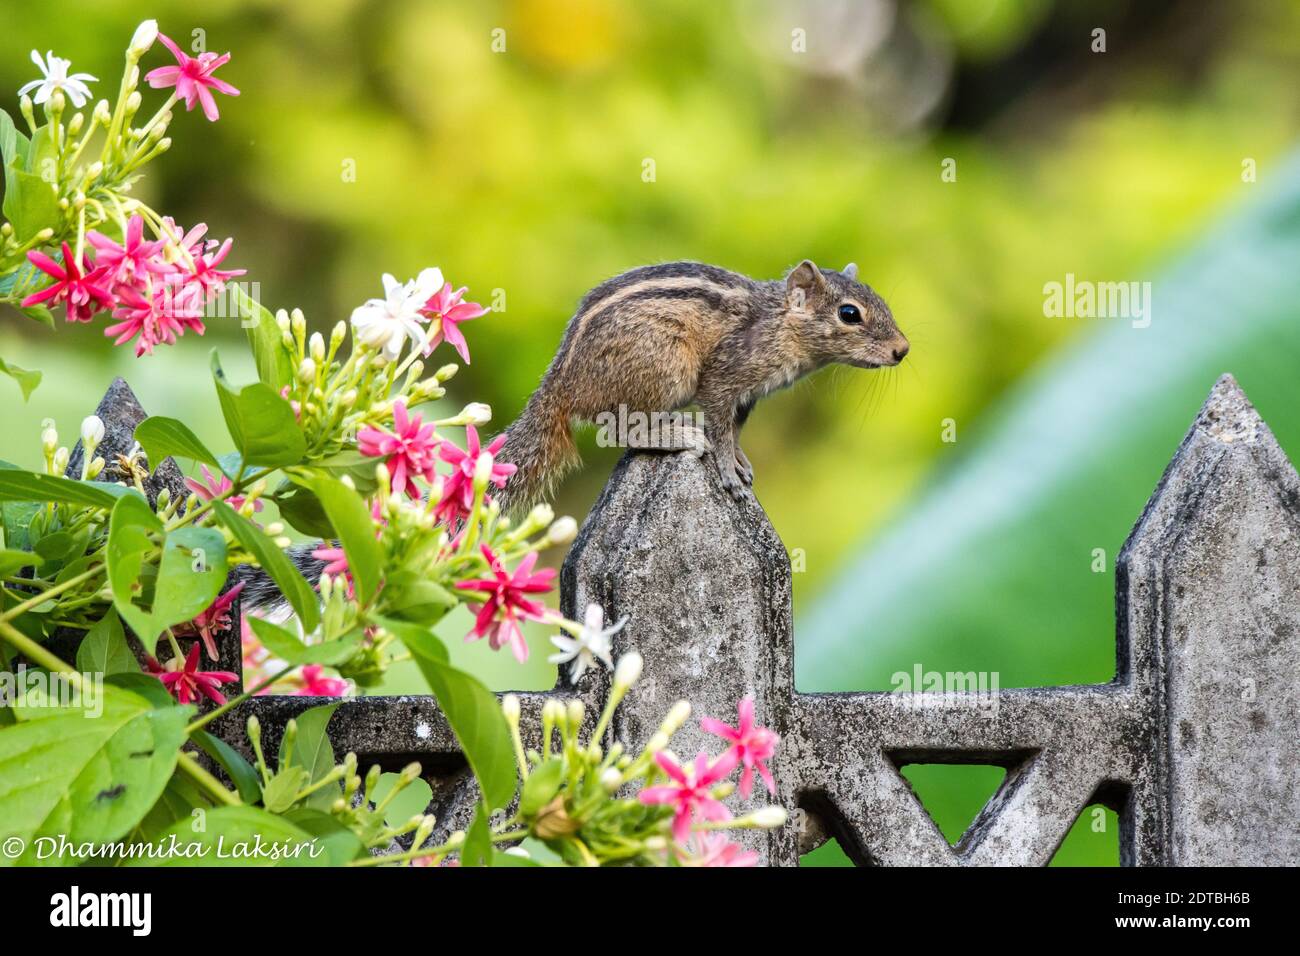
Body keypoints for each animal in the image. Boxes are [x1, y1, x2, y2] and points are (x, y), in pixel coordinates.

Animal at [492, 259, 908, 514]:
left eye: (880, 299)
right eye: (849, 313)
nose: (902, 350)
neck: (780, 322)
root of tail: (559, 384)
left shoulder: (748, 396)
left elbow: (734, 431)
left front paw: (739, 460)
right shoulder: (723, 378)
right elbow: (720, 430)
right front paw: (728, 471)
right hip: (664, 368)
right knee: (619, 430)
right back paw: (676, 434)